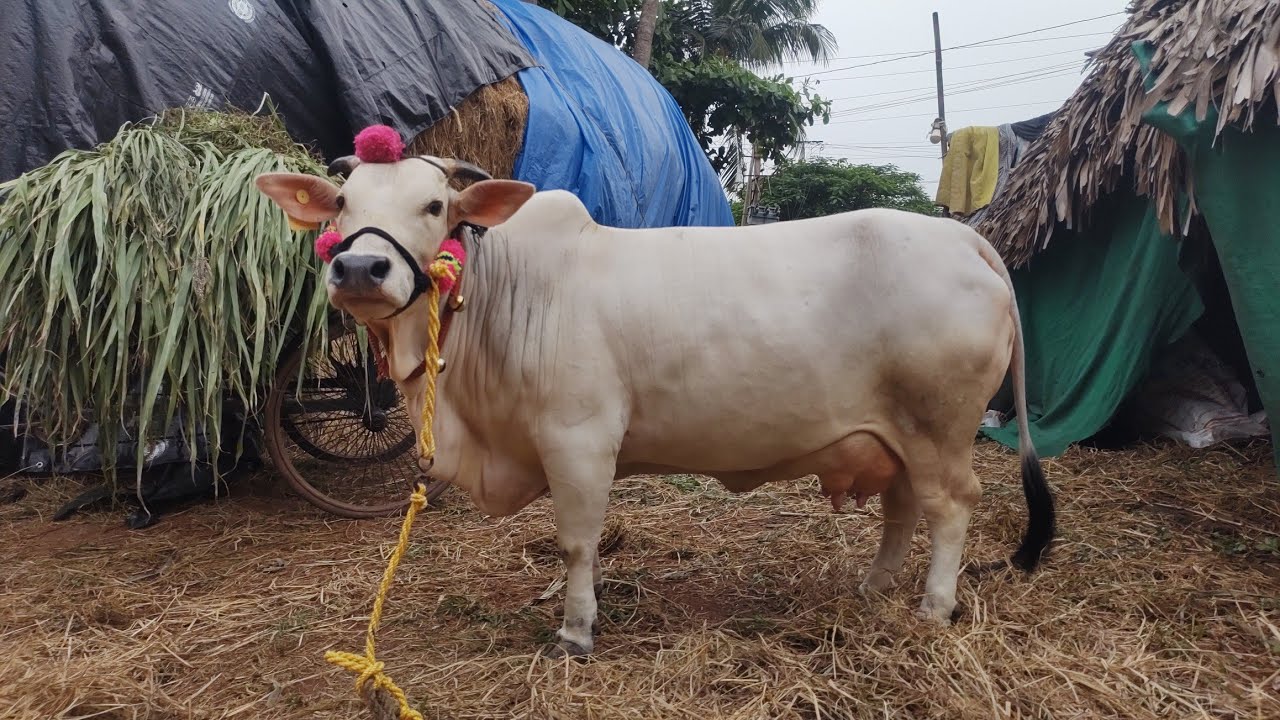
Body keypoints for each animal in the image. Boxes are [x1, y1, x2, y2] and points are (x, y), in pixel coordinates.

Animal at [254, 151, 1054, 658]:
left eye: (434, 205)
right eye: (343, 205)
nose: (360, 267)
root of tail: (962, 238)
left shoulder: (578, 440)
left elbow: (577, 541)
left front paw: (576, 631)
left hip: (939, 429)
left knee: (951, 508)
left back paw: (933, 606)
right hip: (896, 435)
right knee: (902, 508)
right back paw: (872, 586)